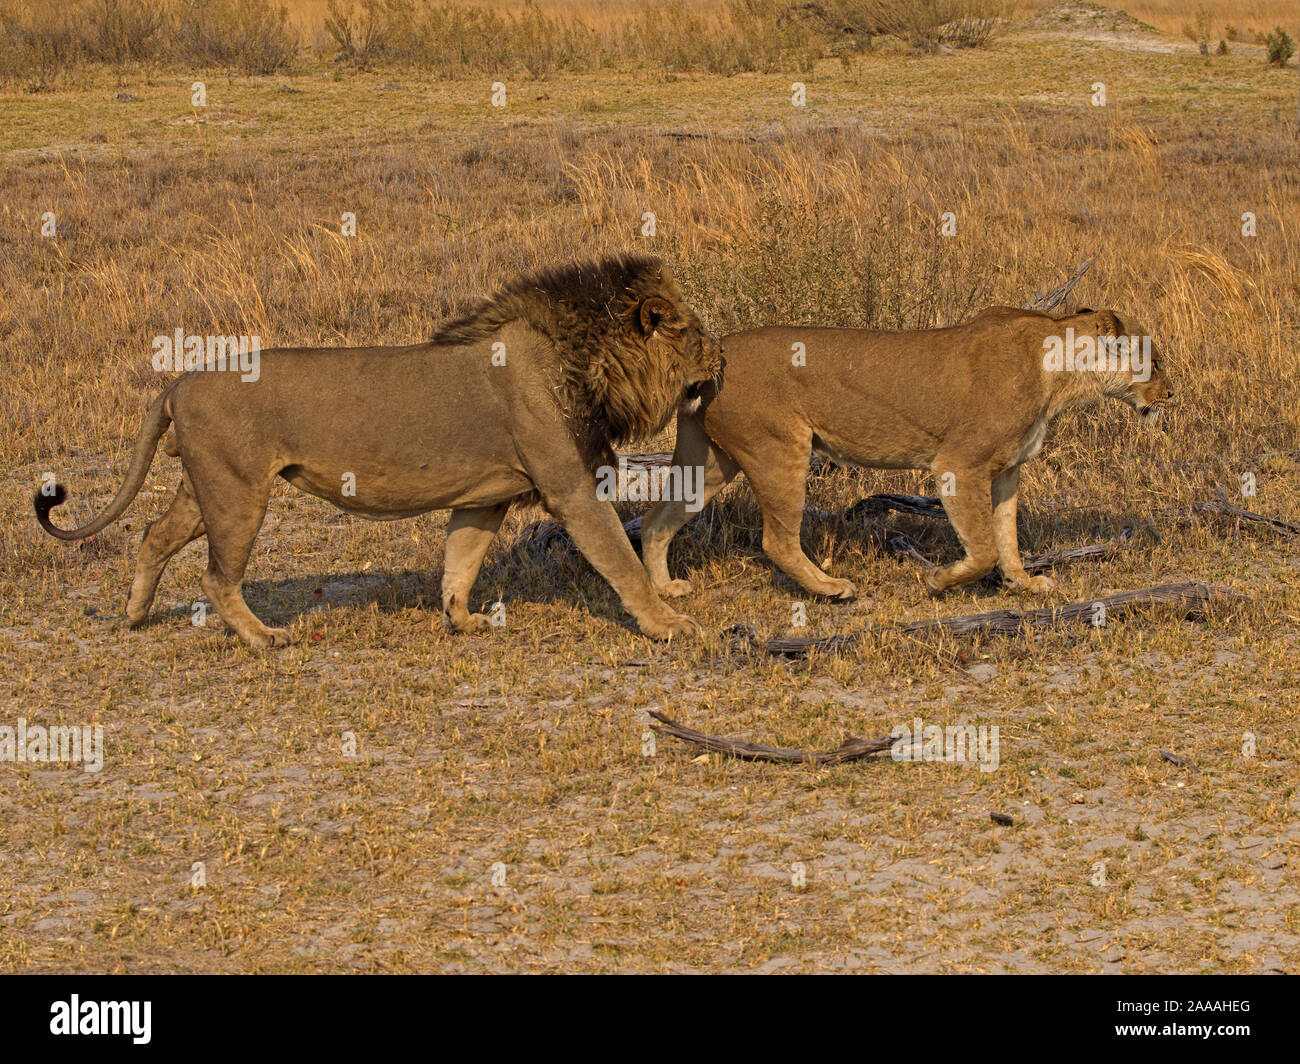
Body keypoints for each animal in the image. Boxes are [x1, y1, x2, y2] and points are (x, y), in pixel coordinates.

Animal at [36, 253, 723, 647]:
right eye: (693, 333)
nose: (719, 356)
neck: (587, 359)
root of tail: (179, 381)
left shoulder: (485, 497)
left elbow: (460, 561)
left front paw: (461, 621)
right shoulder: (570, 486)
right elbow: (621, 562)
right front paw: (666, 624)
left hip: (203, 487)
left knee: (153, 533)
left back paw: (133, 616)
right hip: (238, 495)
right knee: (215, 574)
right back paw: (262, 638)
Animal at [641, 306, 1173, 600]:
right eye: (1154, 359)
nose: (1171, 394)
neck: (1060, 375)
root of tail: (713, 354)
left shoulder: (1007, 471)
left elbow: (1007, 536)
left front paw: (1023, 583)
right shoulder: (960, 464)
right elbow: (983, 547)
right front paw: (939, 582)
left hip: (710, 459)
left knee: (656, 519)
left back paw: (664, 588)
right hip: (779, 450)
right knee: (776, 541)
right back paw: (832, 590)